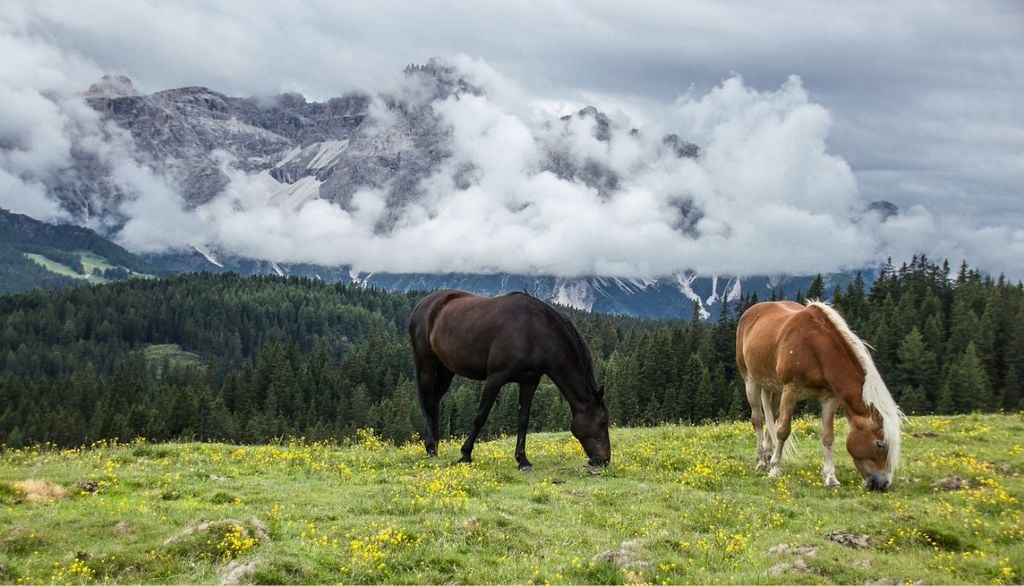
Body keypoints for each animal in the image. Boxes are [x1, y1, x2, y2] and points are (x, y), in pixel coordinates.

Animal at [409, 289, 610, 470]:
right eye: (602, 421)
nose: (604, 460)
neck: (535, 332)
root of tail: (422, 305)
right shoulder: (495, 378)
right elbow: (480, 417)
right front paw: (465, 455)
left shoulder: (529, 382)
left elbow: (523, 420)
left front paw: (523, 460)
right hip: (426, 364)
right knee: (427, 402)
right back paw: (431, 449)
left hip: (446, 369)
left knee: (435, 401)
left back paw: (435, 447)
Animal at [736, 300, 903, 491]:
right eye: (879, 443)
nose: (883, 484)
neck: (815, 347)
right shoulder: (790, 391)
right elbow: (783, 430)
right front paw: (775, 469)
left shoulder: (829, 399)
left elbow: (828, 437)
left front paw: (830, 478)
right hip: (751, 380)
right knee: (758, 420)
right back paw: (761, 462)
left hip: (774, 388)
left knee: (773, 417)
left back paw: (767, 454)